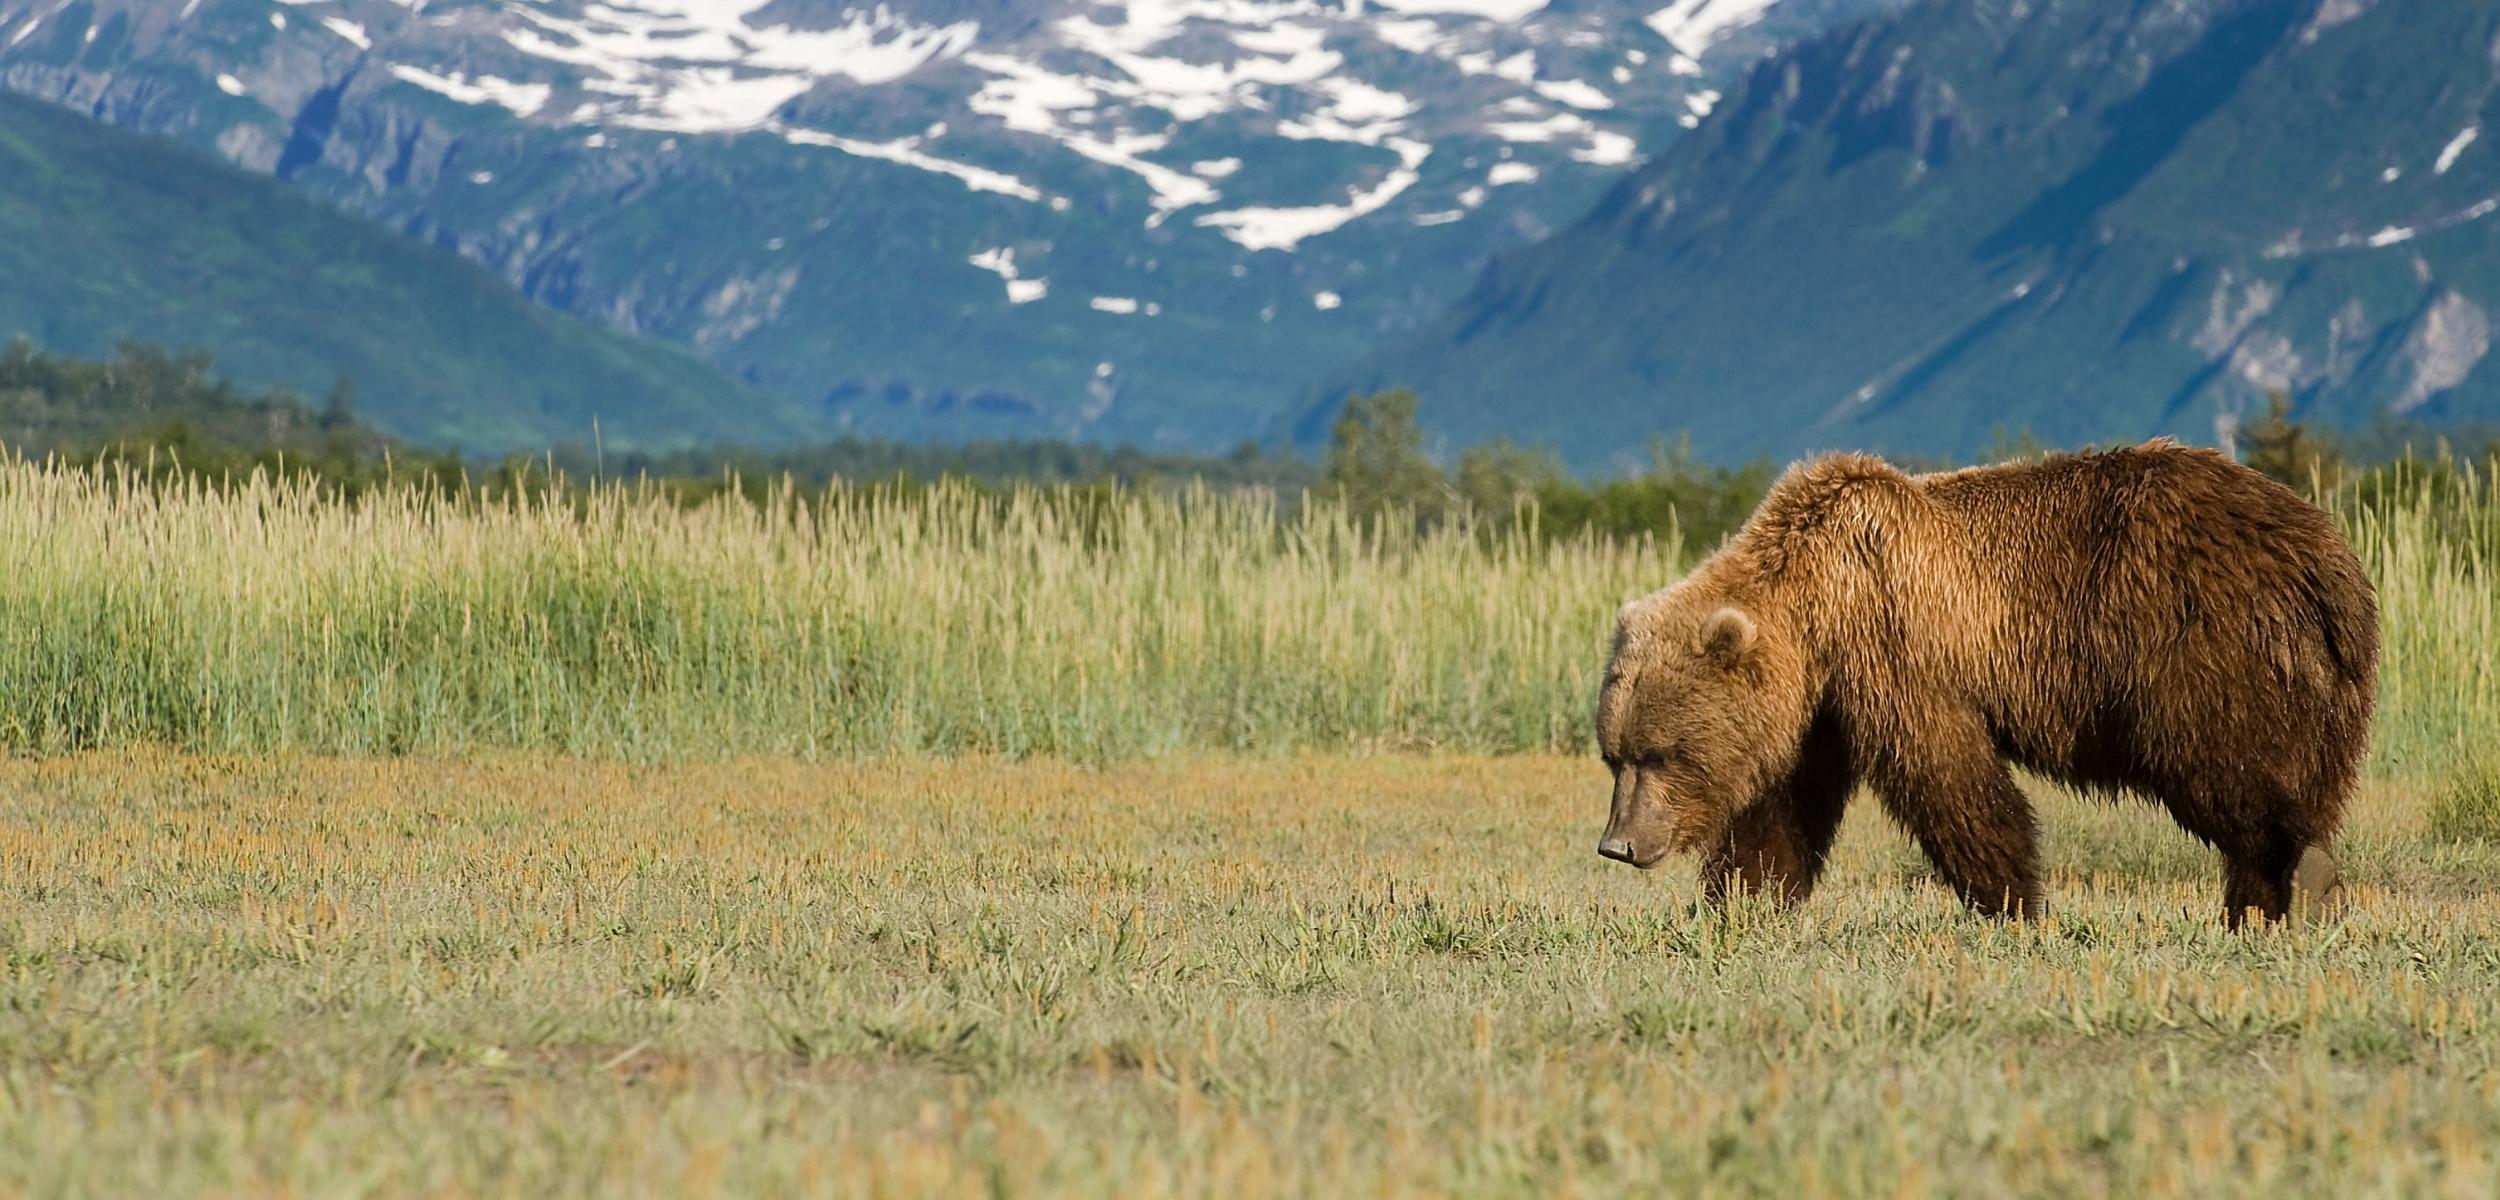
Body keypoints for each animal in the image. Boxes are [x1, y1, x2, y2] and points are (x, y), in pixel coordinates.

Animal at [1592, 440, 2377, 925]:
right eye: (1614, 755)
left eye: (1661, 754)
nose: (1618, 844)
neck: (1814, 603)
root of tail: (2328, 558)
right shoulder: (1819, 708)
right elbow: (1782, 808)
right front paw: (1738, 901)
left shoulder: (1895, 641)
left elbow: (1949, 776)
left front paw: (2013, 902)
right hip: (2317, 681)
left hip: (2198, 646)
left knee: (2229, 769)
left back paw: (2298, 883)